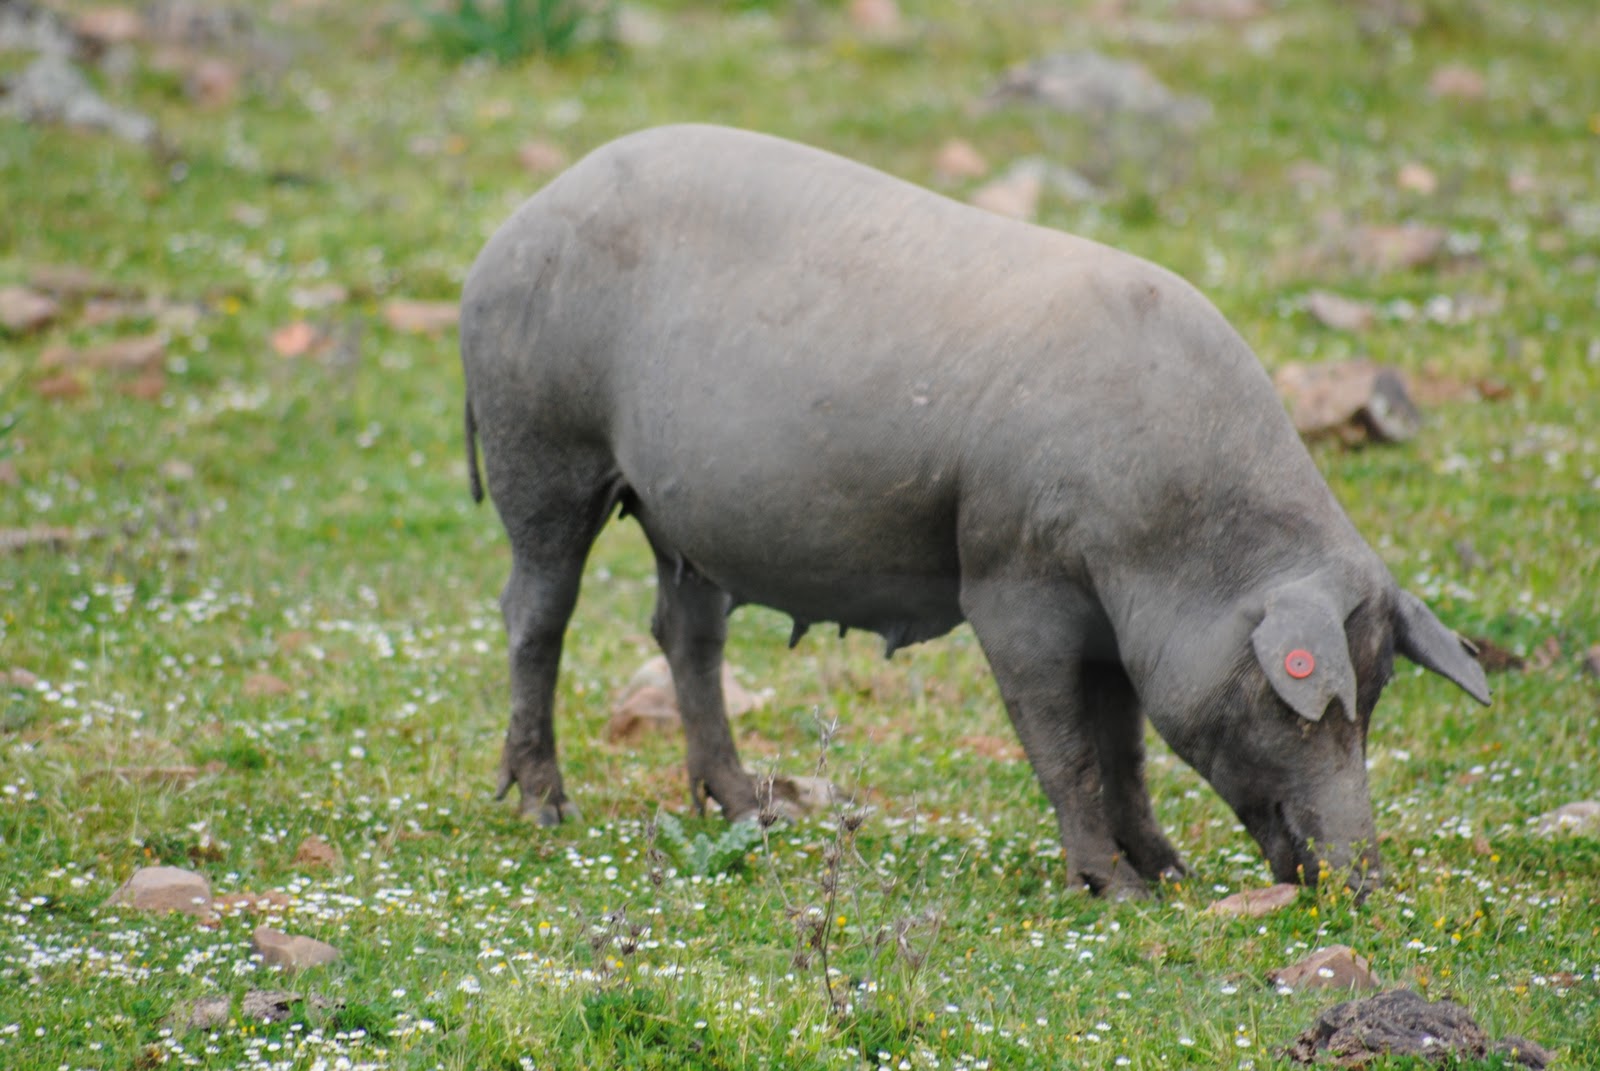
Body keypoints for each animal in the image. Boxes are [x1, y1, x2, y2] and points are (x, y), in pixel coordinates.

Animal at [459, 124, 1489, 897]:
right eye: (1300, 705)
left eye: (1376, 697)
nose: (1364, 882)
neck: (1172, 538)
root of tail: (509, 227)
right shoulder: (1009, 580)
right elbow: (1065, 748)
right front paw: (1116, 890)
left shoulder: (1115, 629)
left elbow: (1126, 748)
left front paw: (1172, 875)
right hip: (541, 445)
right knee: (534, 611)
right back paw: (546, 805)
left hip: (685, 518)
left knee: (685, 633)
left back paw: (750, 806)